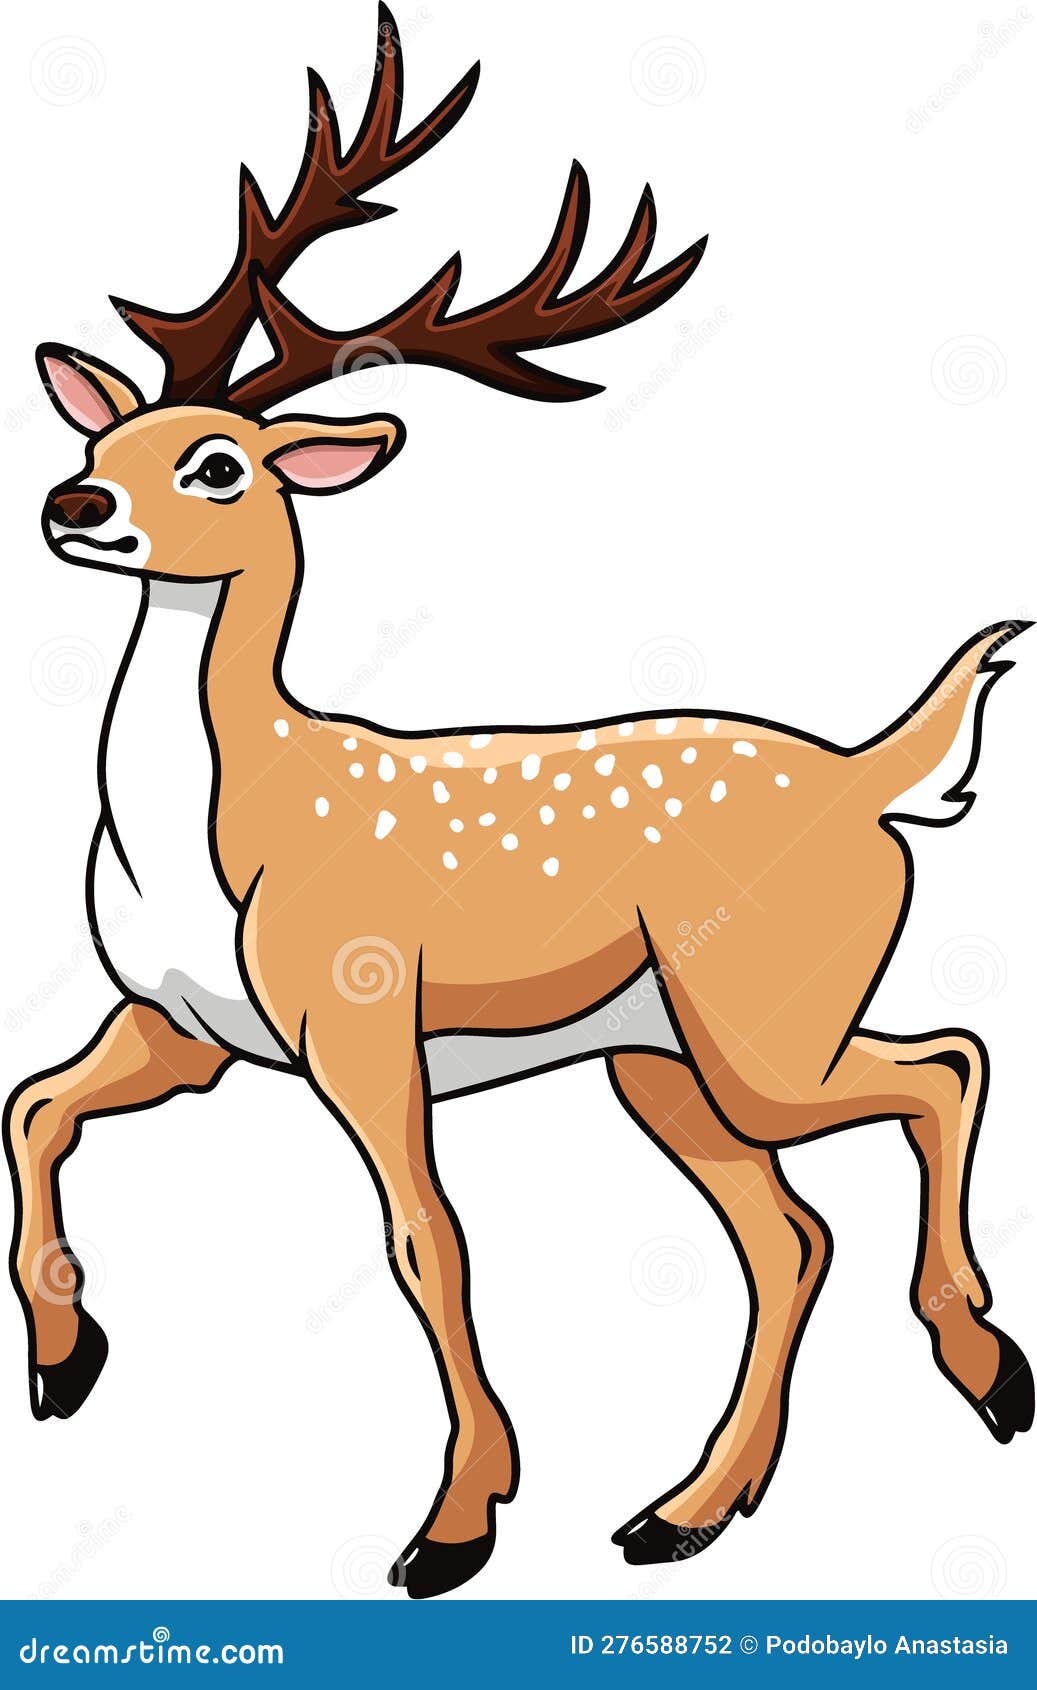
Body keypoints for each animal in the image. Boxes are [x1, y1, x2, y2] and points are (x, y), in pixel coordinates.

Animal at [6, 5, 1032, 1601]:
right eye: (104, 439)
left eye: (217, 462)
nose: (71, 507)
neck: (232, 829)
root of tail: (871, 777)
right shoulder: (189, 1023)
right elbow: (34, 1104)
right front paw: (66, 1358)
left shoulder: (359, 1013)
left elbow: (425, 1241)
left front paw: (452, 1528)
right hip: (659, 1056)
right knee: (791, 1229)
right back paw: (682, 1510)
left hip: (761, 1018)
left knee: (945, 1062)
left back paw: (985, 1369)